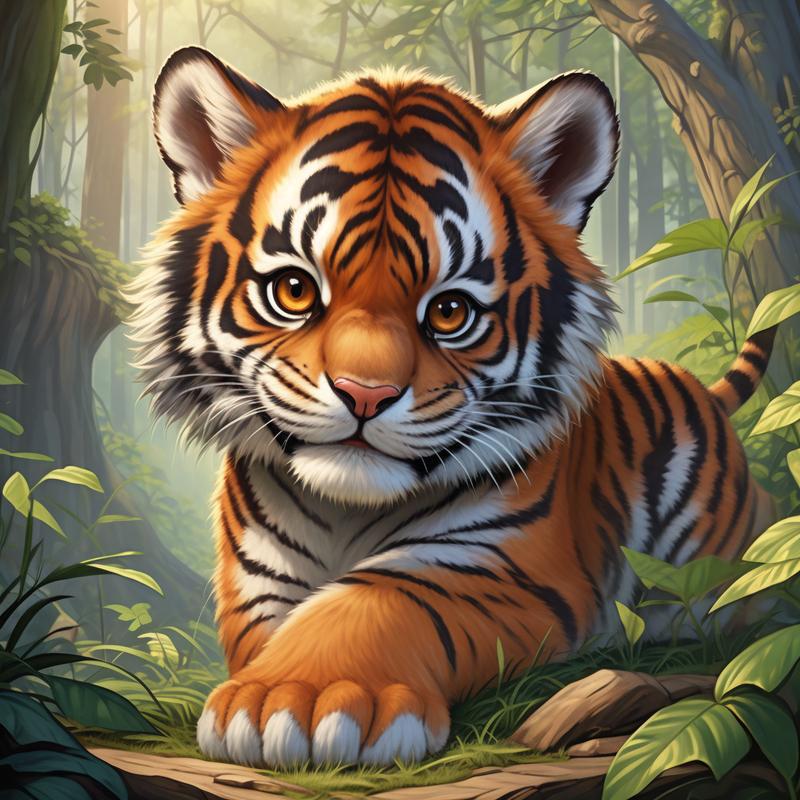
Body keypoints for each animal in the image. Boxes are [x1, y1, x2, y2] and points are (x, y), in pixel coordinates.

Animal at [128, 46, 776, 768]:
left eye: (450, 310)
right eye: (294, 290)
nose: (366, 394)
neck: (347, 511)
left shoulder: (502, 564)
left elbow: (385, 598)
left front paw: (302, 699)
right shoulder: (258, 577)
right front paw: (272, 689)